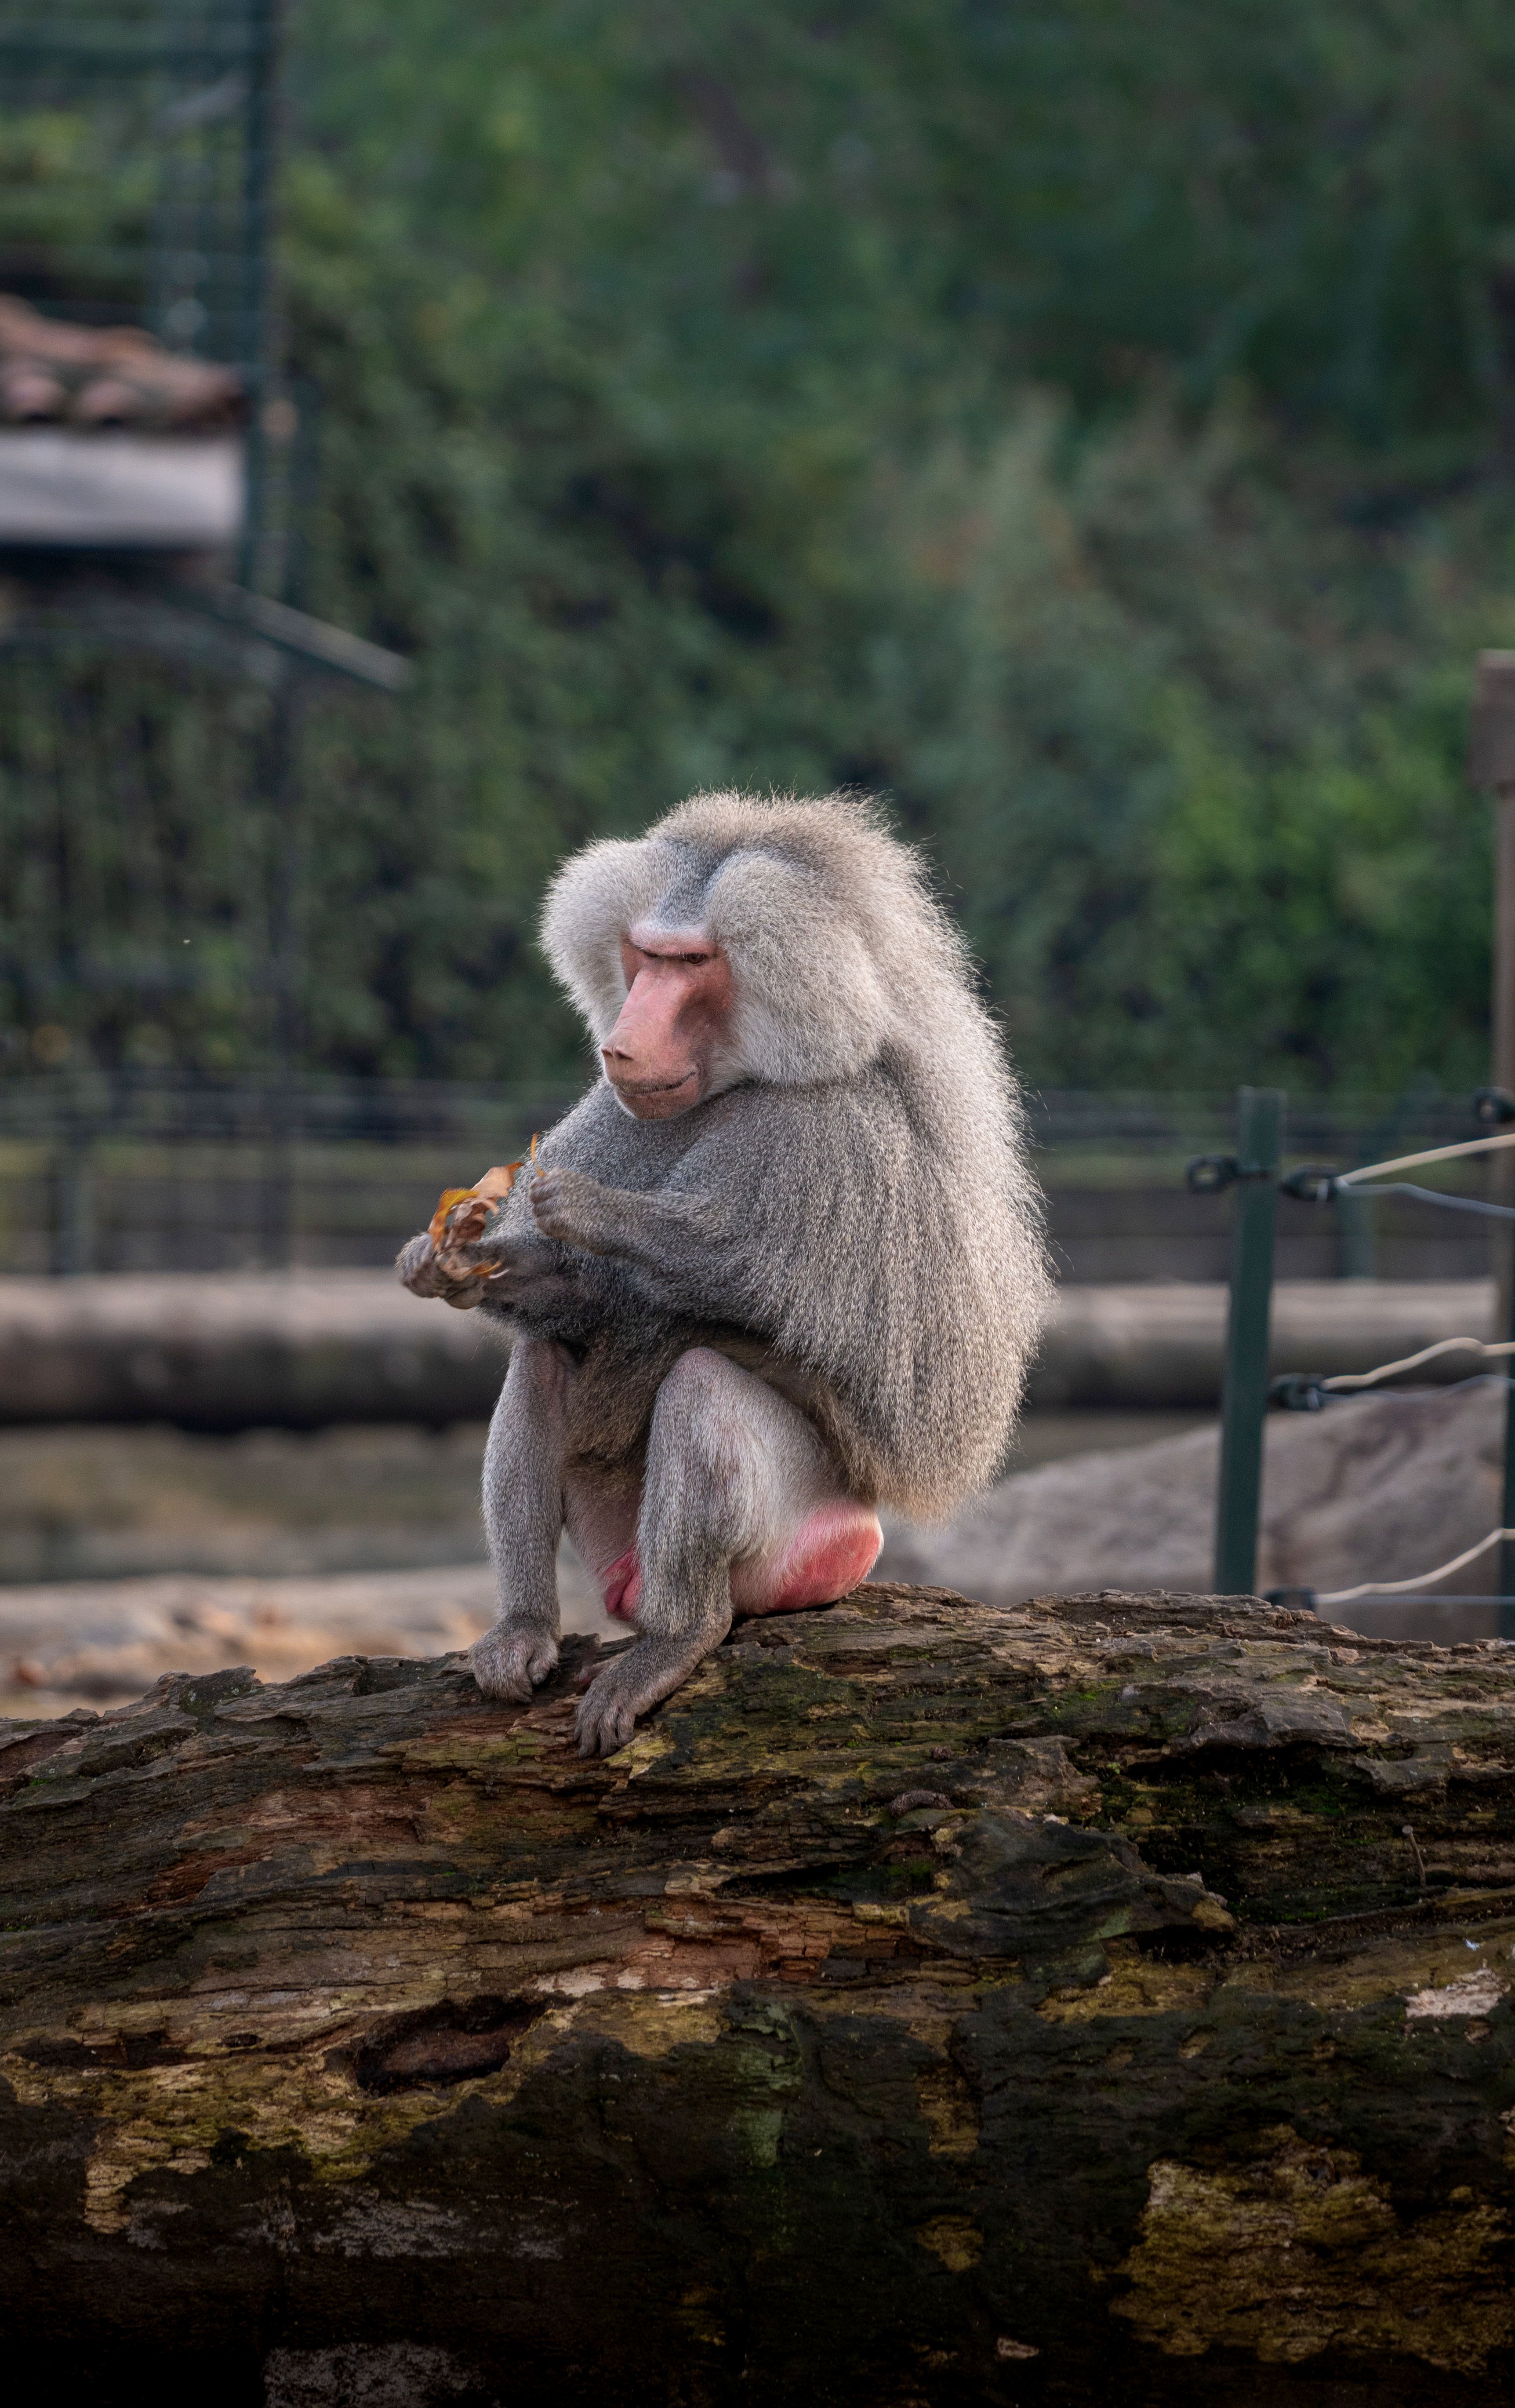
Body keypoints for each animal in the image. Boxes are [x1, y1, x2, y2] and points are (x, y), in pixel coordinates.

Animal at [398, 791, 1051, 1756]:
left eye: (693, 963)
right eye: (644, 953)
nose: (621, 1048)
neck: (750, 1079)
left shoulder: (841, 1135)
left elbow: (764, 1291)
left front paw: (592, 1209)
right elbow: (581, 1310)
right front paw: (454, 1262)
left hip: (798, 1528)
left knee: (705, 1383)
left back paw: (676, 1637)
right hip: (609, 1533)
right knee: (544, 1359)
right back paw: (523, 1630)